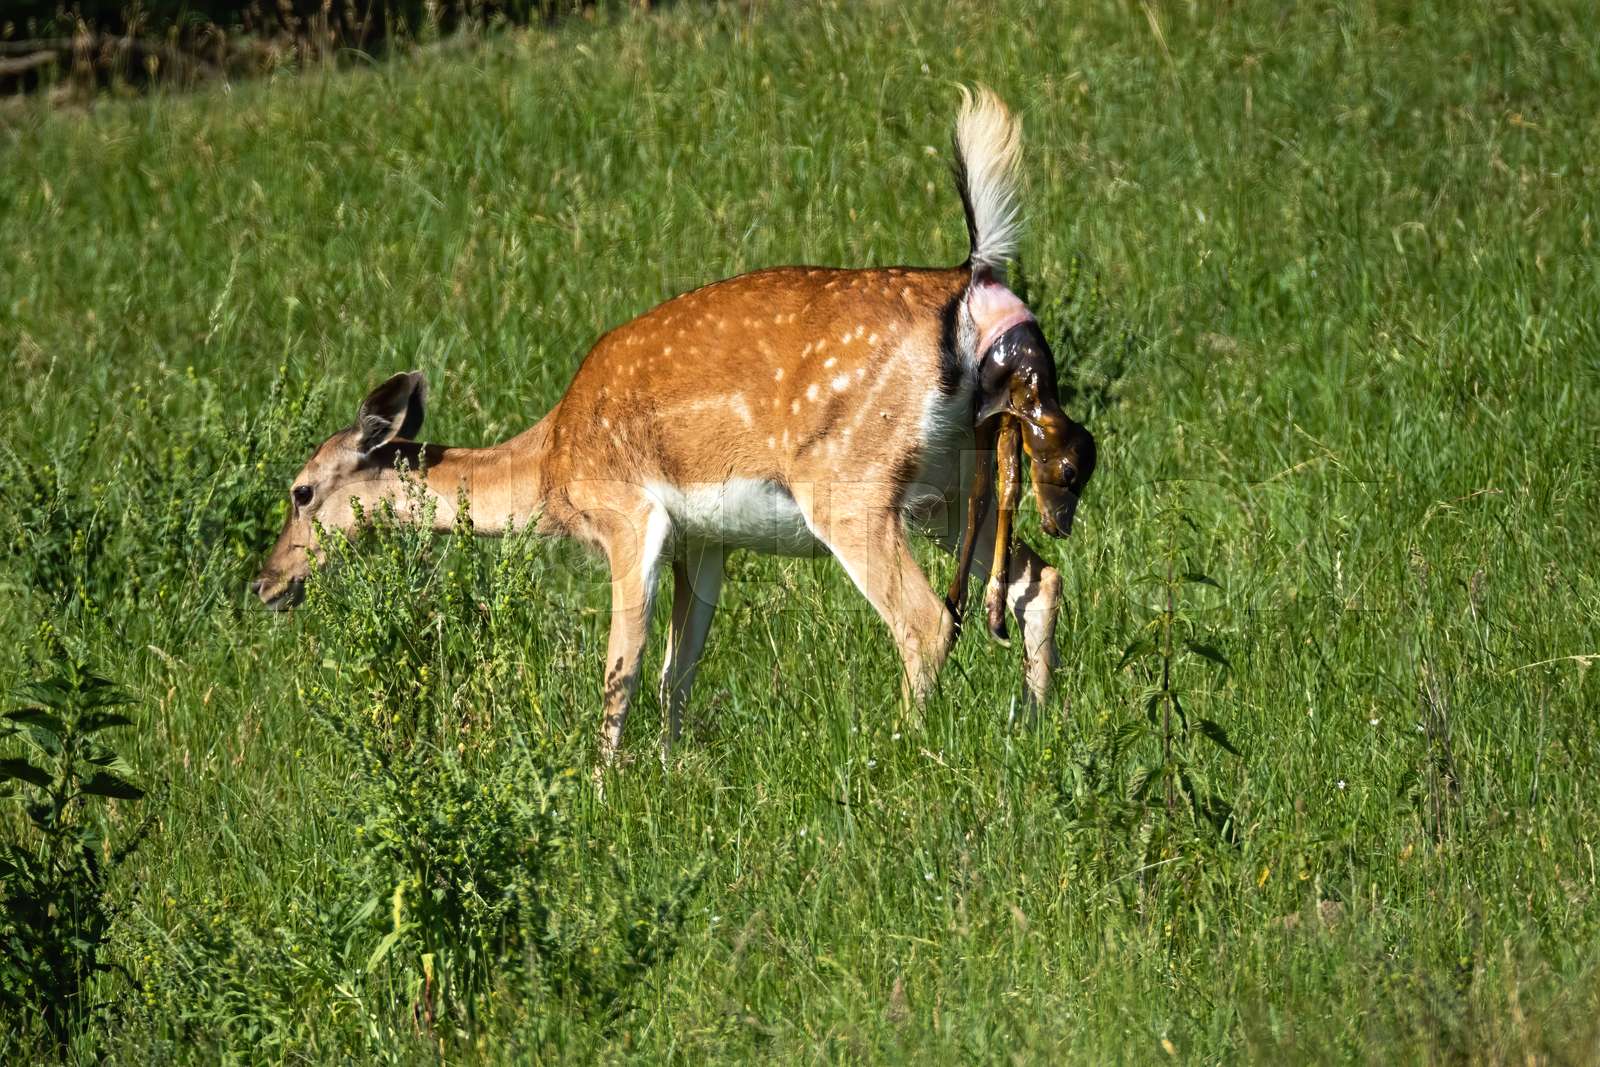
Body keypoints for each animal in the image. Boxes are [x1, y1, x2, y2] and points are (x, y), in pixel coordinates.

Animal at [253, 87, 1097, 765]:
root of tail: (974, 281)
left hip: (853, 481)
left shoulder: (628, 514)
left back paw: (898, 751)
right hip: (949, 487)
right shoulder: (707, 540)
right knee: (1037, 579)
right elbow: (676, 670)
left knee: (925, 620)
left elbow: (619, 671)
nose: (265, 582)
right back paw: (1036, 725)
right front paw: (667, 766)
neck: (550, 468)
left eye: (300, 491)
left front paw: (600, 785)